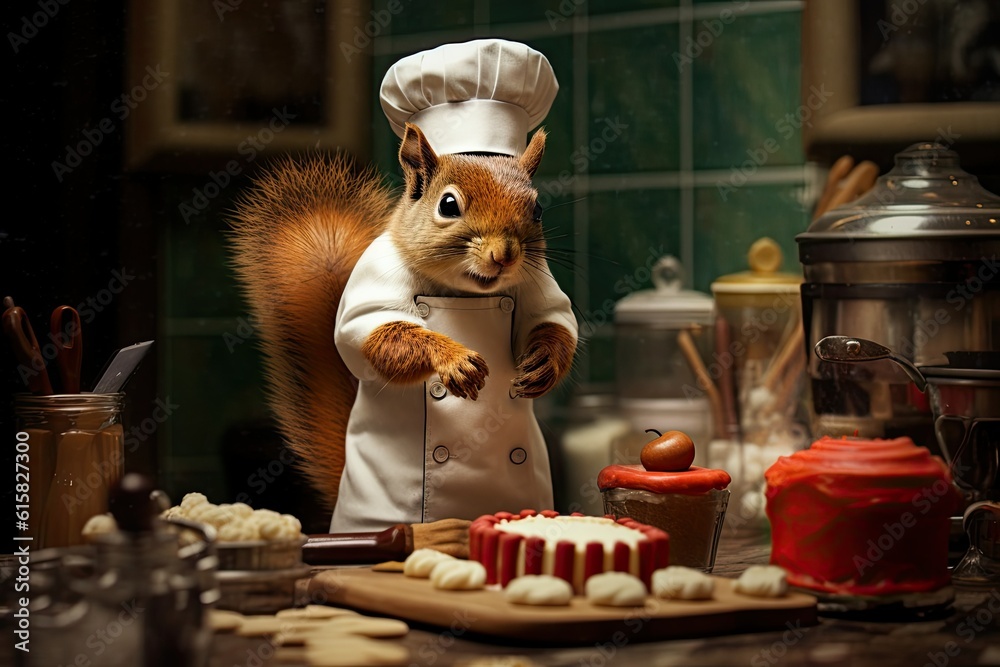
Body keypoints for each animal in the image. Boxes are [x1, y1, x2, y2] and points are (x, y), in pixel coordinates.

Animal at [229, 123, 578, 516]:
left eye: (537, 209)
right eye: (448, 205)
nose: (504, 255)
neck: (464, 296)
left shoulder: (535, 283)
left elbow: (550, 320)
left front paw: (543, 365)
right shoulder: (375, 284)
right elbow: (385, 336)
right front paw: (456, 360)